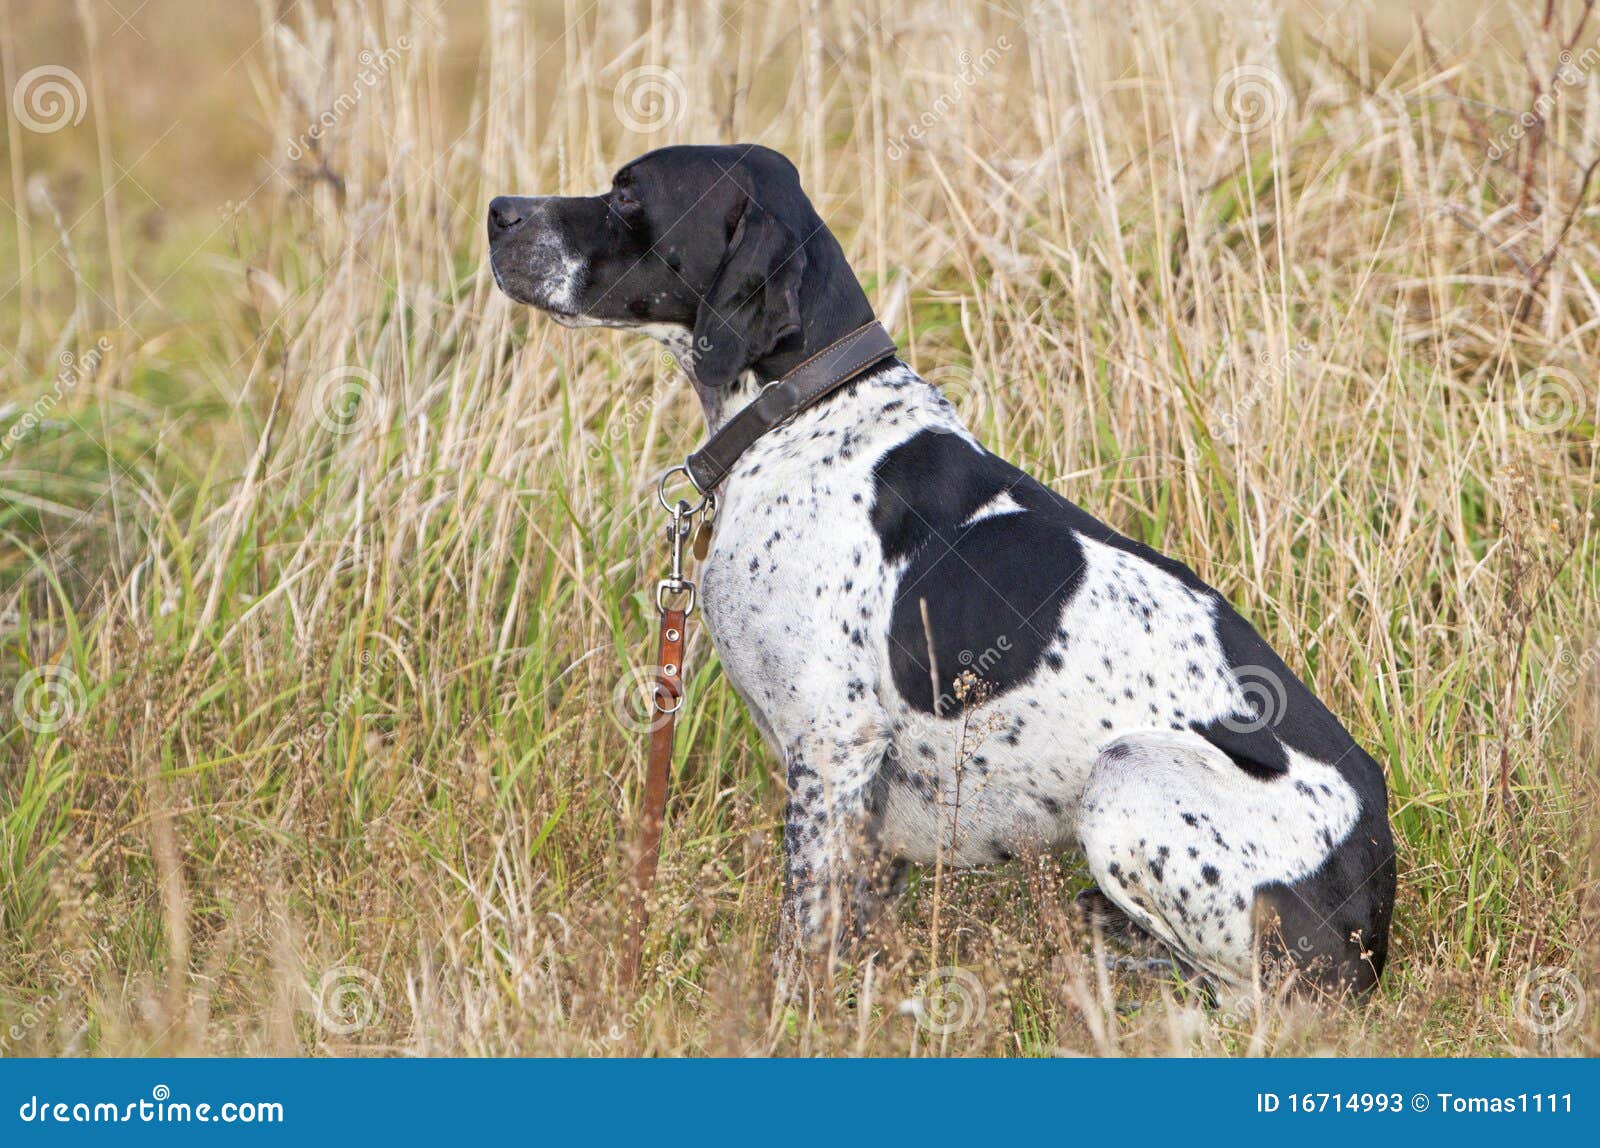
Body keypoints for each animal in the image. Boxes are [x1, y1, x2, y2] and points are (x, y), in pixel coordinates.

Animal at [489, 146, 1401, 997]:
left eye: (629, 194)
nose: (499, 211)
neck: (808, 413)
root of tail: (1374, 896)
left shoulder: (832, 744)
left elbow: (800, 935)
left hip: (1128, 775)